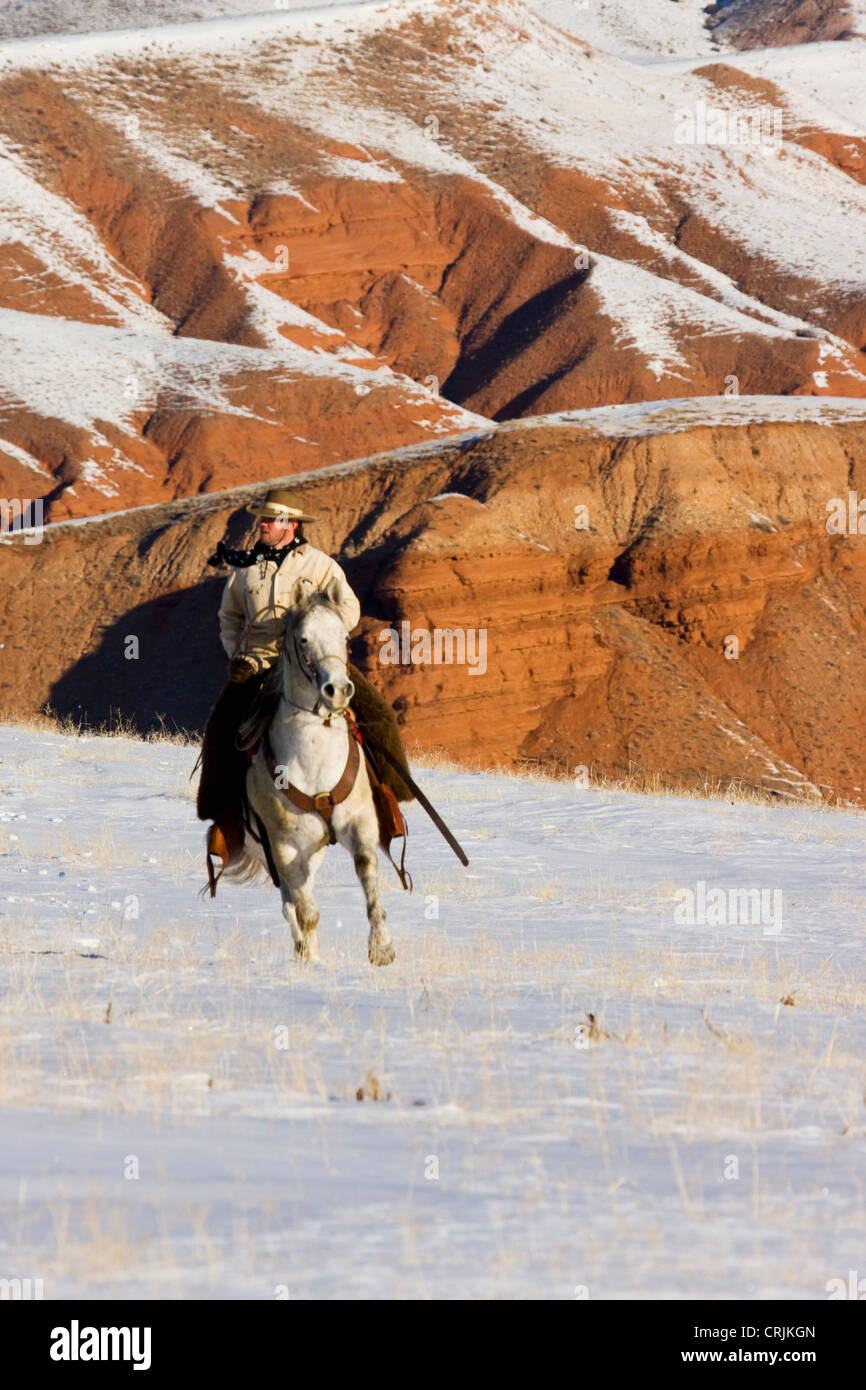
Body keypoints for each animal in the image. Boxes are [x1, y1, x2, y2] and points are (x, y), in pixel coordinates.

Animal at [219, 575, 395, 967]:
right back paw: (304, 952)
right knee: (290, 907)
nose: (338, 691)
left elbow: (369, 879)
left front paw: (382, 948)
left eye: (345, 636)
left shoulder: (359, 824)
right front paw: (311, 961)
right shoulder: (285, 846)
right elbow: (305, 911)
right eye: (303, 639)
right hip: (274, 854)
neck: (314, 761)